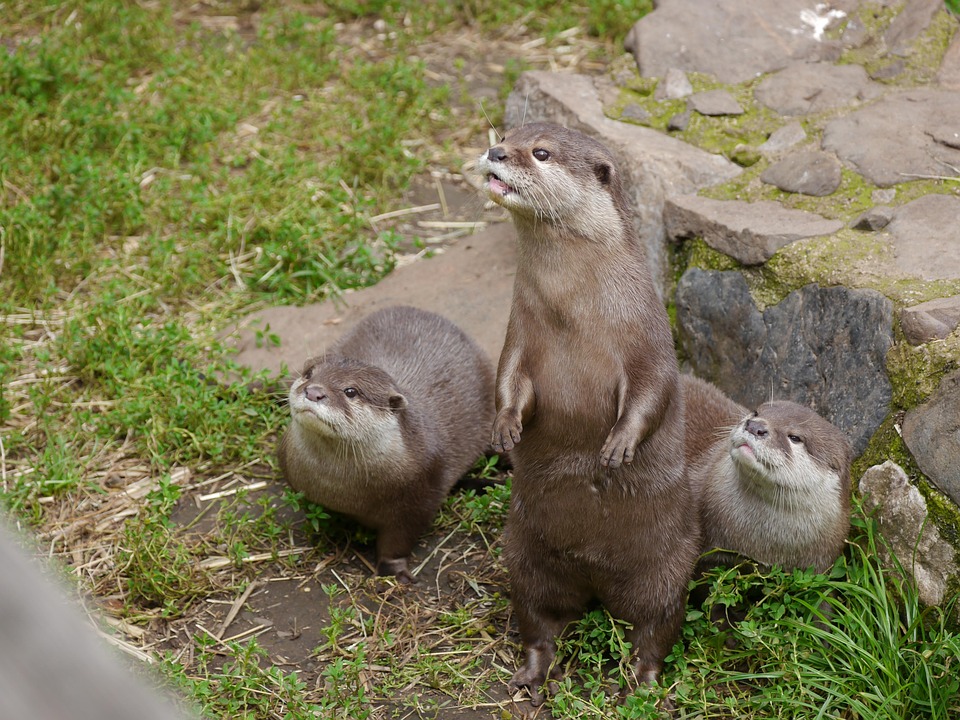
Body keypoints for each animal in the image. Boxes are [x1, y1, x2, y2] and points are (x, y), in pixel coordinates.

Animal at [277, 305, 495, 584]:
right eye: (309, 375)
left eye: (351, 391)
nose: (314, 391)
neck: (340, 487)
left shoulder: (418, 499)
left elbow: (398, 540)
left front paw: (393, 571)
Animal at [477, 122, 698, 704]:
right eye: (506, 133)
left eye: (541, 152)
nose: (495, 152)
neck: (573, 308)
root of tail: (596, 580)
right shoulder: (520, 333)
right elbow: (507, 380)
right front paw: (504, 428)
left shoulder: (646, 335)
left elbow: (652, 390)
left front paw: (618, 445)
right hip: (525, 556)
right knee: (539, 620)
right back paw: (532, 675)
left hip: (667, 571)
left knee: (656, 627)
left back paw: (641, 683)